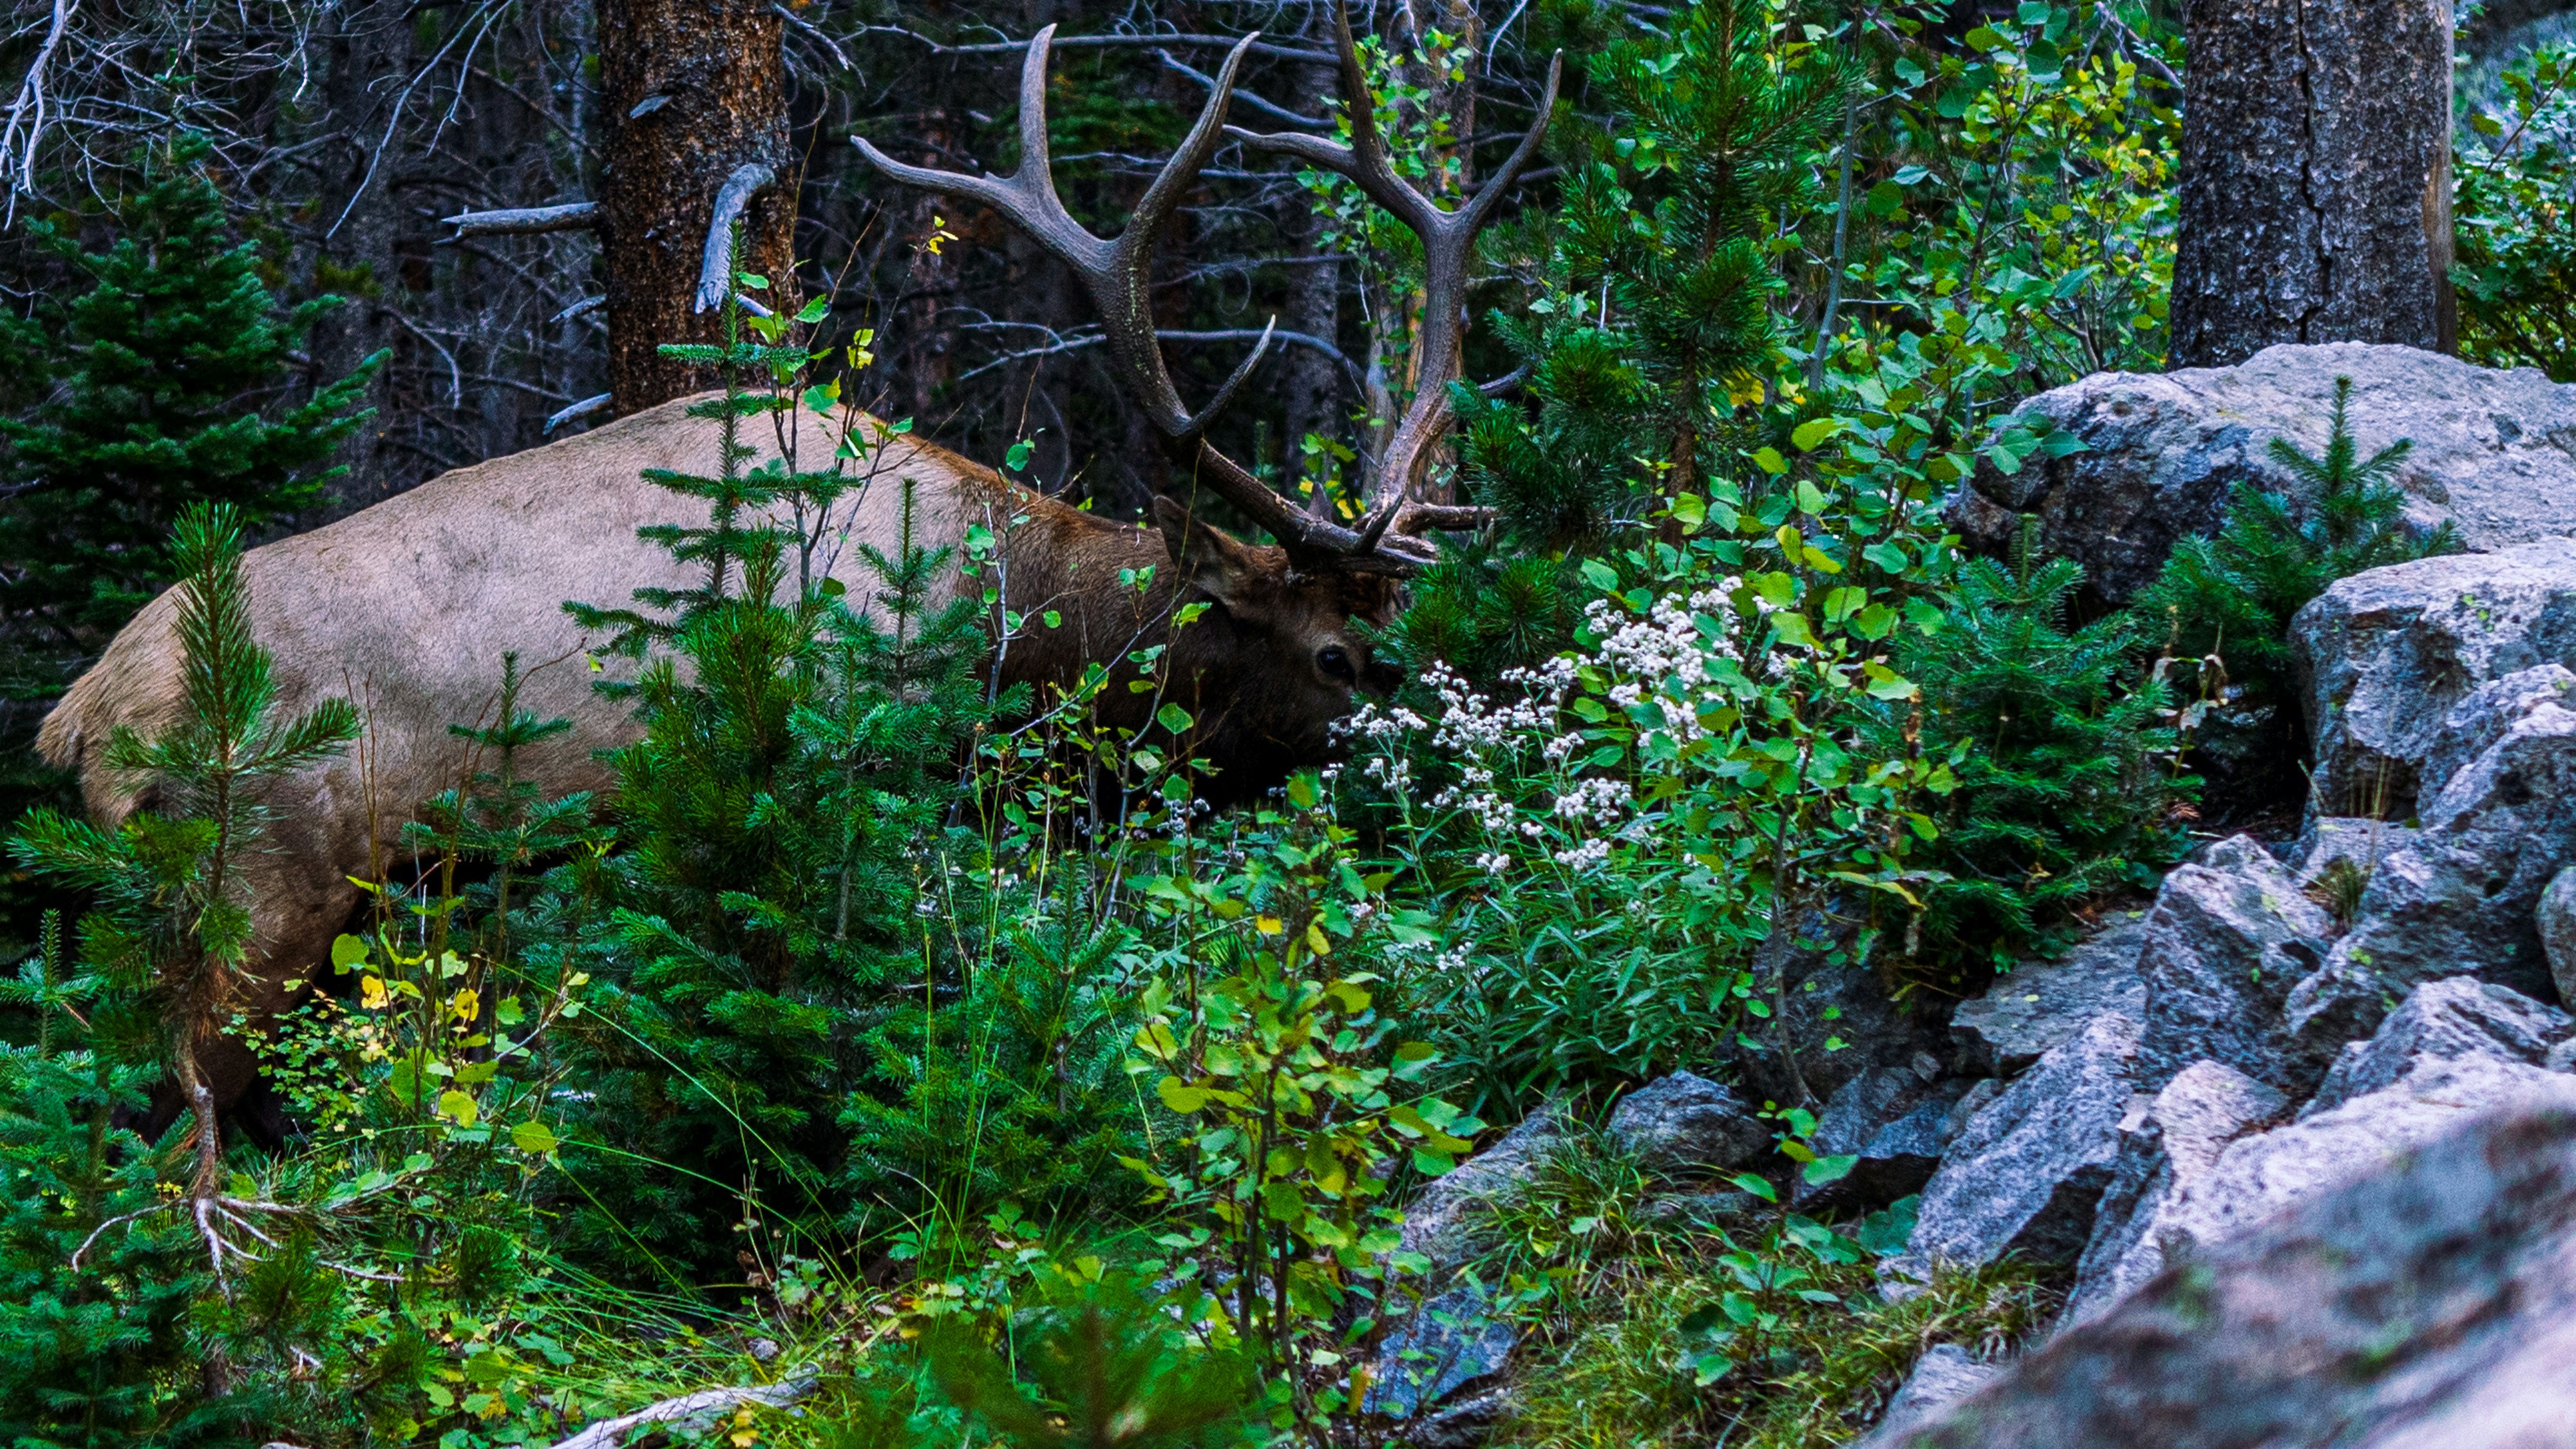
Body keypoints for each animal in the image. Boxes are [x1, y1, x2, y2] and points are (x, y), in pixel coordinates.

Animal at [36, 1, 1558, 1131]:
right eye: (1336, 653)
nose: (1454, 766)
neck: (1011, 639)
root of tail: (80, 718)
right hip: (261, 881)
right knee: (182, 1110)